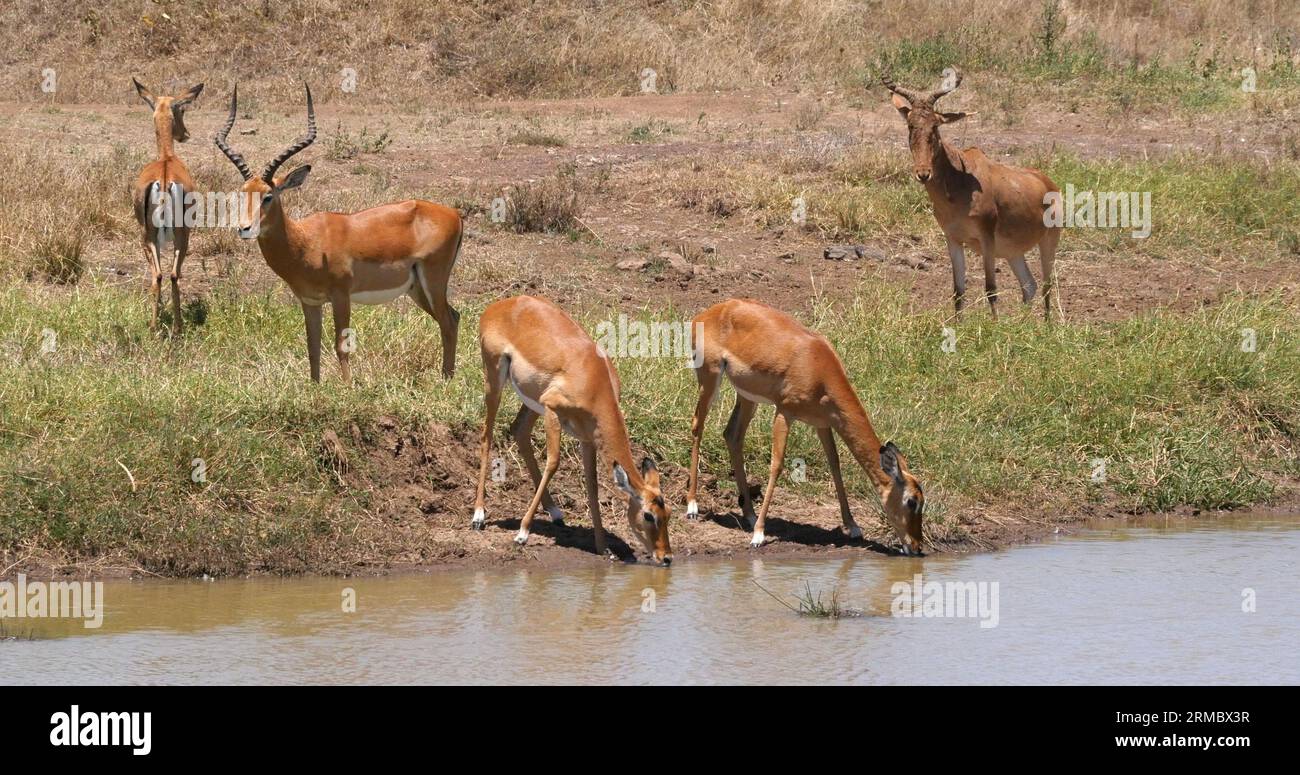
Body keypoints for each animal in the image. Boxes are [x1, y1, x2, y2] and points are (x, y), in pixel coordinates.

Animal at [130, 79, 203, 334]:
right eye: (182, 110)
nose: (186, 134)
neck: (166, 158)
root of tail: (163, 179)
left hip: (147, 235)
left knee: (158, 275)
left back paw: (154, 327)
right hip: (181, 235)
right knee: (171, 274)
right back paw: (177, 328)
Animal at [214, 85, 463, 382]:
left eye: (268, 196)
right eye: (243, 194)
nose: (245, 228)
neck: (306, 242)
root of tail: (454, 214)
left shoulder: (341, 295)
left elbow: (340, 345)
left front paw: (347, 386)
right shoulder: (310, 301)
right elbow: (312, 346)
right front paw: (315, 386)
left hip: (433, 281)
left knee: (448, 322)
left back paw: (446, 381)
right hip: (417, 289)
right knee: (453, 317)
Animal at [473, 295, 673, 566]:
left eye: (669, 512)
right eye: (649, 515)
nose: (666, 557)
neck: (595, 382)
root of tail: (499, 306)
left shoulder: (588, 438)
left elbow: (592, 484)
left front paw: (603, 548)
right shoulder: (552, 410)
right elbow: (553, 462)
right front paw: (522, 534)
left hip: (531, 401)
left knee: (519, 431)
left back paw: (556, 512)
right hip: (495, 380)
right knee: (487, 435)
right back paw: (479, 516)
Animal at [685, 298, 924, 555]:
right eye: (911, 501)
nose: (916, 546)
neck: (817, 366)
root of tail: (708, 313)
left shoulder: (823, 424)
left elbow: (835, 465)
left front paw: (853, 526)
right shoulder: (784, 413)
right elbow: (777, 465)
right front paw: (759, 535)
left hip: (747, 396)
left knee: (732, 435)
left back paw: (749, 514)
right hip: (710, 378)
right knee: (697, 425)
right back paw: (693, 507)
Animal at [882, 70, 1062, 321]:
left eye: (935, 125)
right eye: (910, 125)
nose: (923, 173)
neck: (960, 181)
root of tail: (1048, 183)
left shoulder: (987, 238)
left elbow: (991, 288)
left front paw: (994, 326)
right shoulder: (953, 239)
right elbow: (958, 290)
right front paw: (958, 324)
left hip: (1049, 240)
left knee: (1046, 285)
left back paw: (1045, 325)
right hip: (1012, 252)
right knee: (1029, 285)